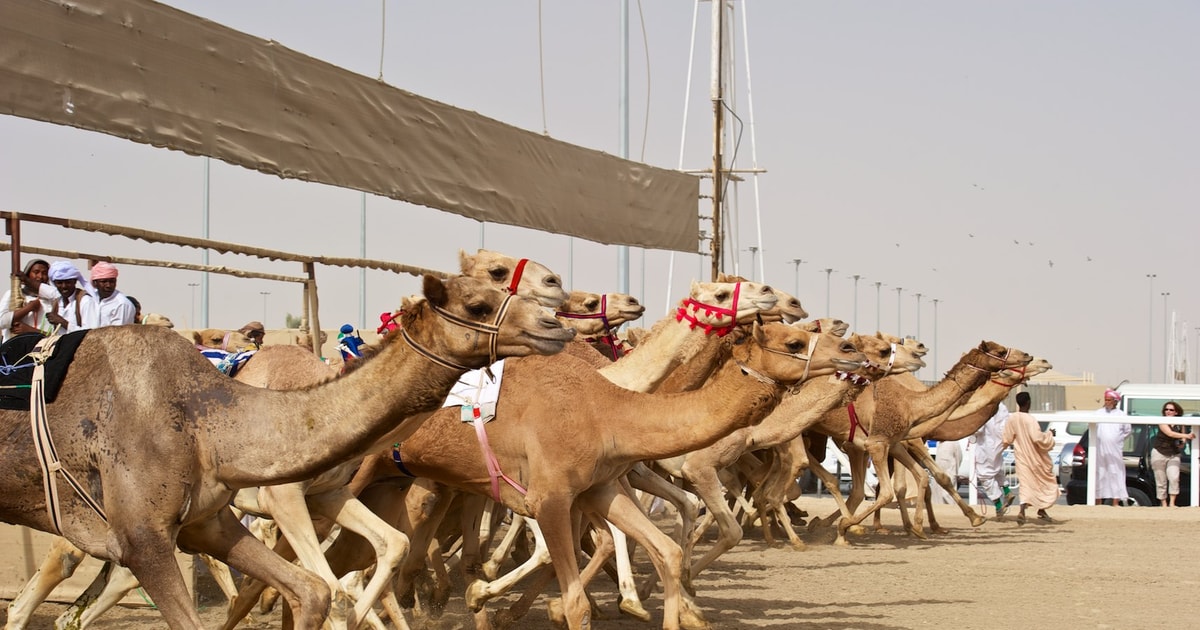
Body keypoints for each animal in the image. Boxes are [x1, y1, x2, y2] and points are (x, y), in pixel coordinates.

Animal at [0, 274, 574, 629]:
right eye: (478, 305)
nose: (556, 325)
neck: (212, 421)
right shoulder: (153, 534)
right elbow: (332, 586)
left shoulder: (217, 519)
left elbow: (332, 580)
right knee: (68, 562)